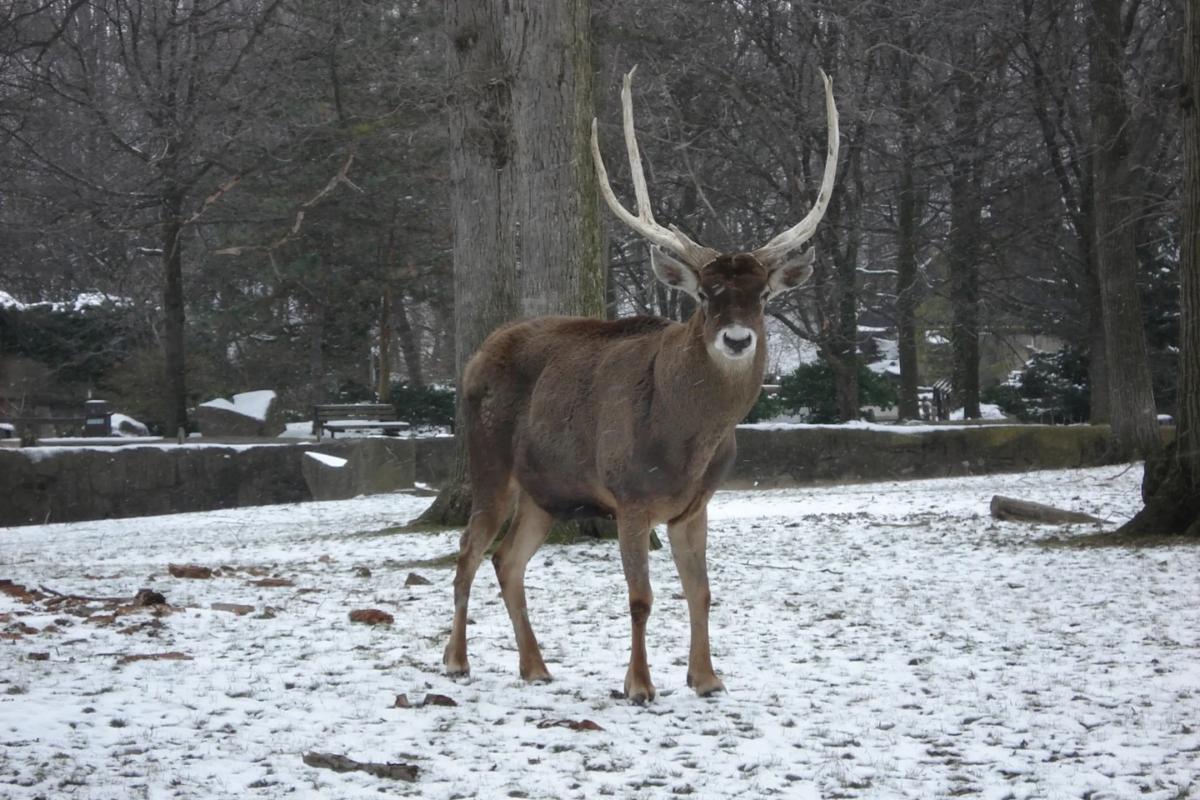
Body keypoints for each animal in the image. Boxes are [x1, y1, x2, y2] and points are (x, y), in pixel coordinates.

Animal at [443, 68, 839, 704]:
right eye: (704, 293)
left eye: (762, 294)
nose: (736, 339)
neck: (685, 442)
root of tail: (477, 355)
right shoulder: (627, 496)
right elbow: (640, 598)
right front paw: (639, 684)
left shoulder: (695, 505)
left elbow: (701, 592)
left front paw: (706, 678)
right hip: (489, 464)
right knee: (467, 551)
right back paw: (456, 661)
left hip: (544, 491)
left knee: (507, 560)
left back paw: (536, 666)